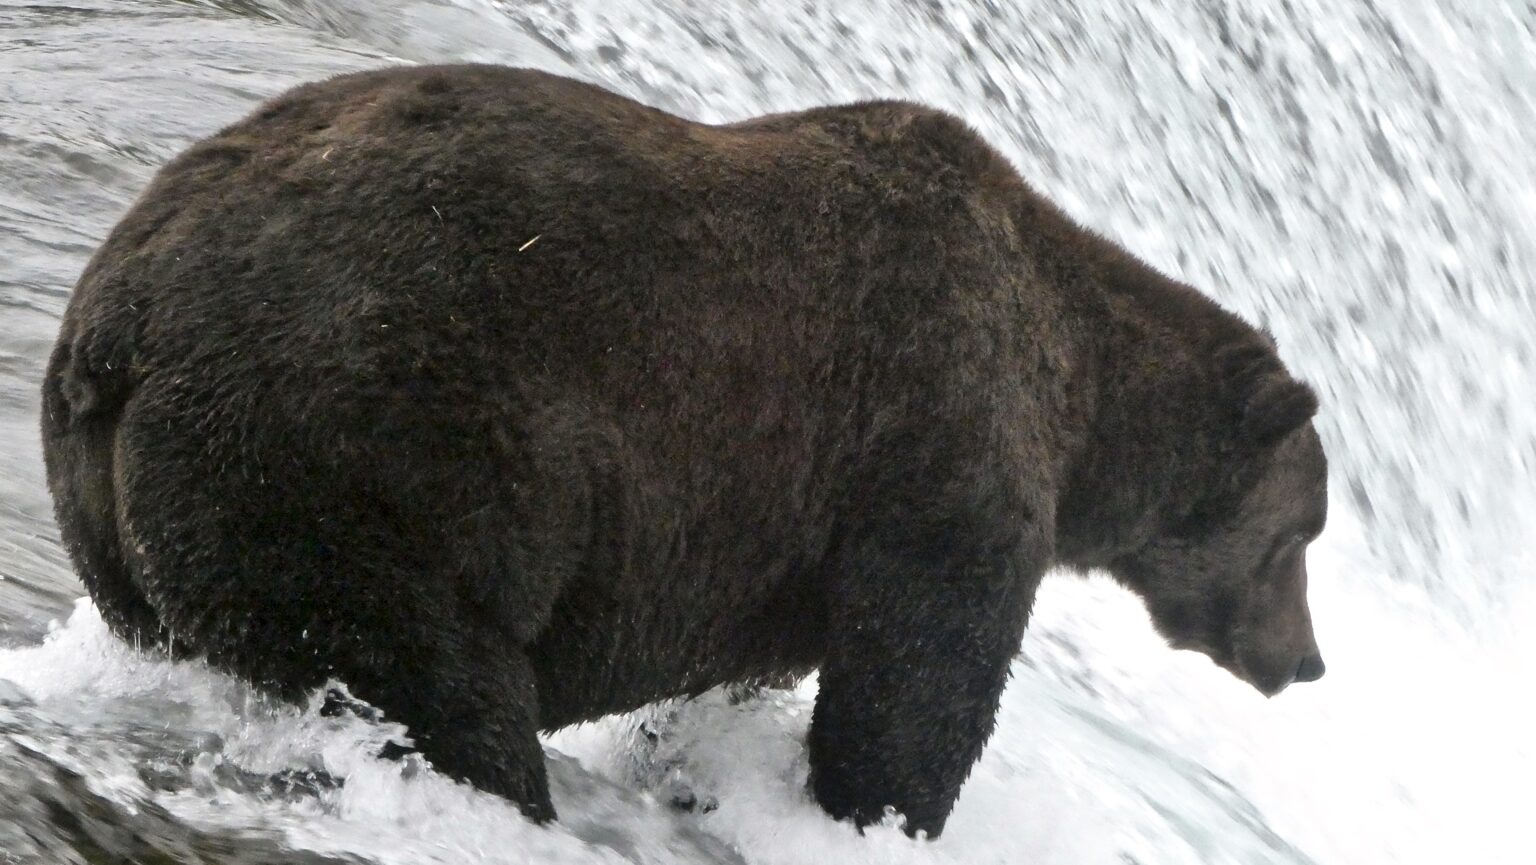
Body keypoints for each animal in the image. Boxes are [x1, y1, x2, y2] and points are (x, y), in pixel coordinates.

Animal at [40, 64, 1327, 838]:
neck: (1084, 396)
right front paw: (876, 815)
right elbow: (919, 685)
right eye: (1303, 535)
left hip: (133, 511)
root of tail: (120, 319)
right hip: (365, 456)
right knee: (442, 685)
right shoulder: (944, 431)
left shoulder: (783, 539)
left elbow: (751, 675)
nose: (1308, 660)